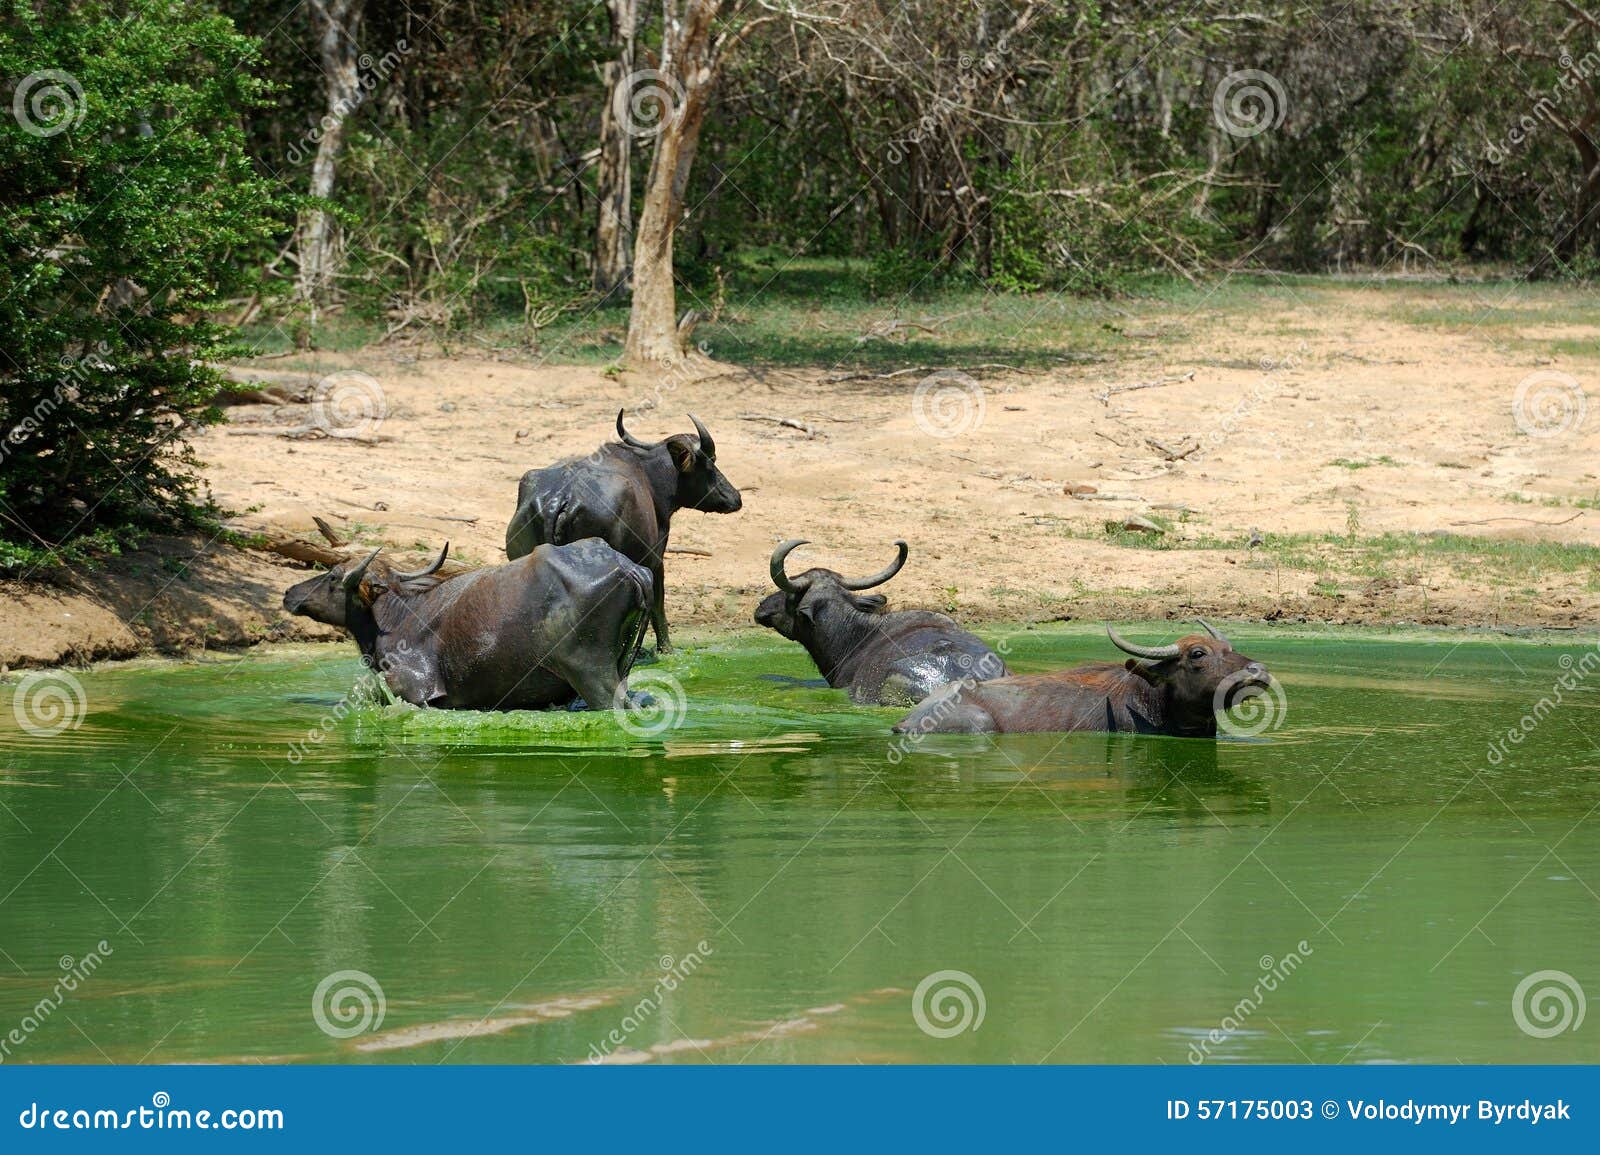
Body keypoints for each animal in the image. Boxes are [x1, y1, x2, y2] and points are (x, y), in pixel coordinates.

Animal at [283, 537, 651, 711]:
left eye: (332, 576)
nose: (288, 593)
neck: (395, 618)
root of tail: (631, 569)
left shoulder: (414, 687)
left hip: (593, 675)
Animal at [505, 411, 741, 652]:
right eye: (711, 462)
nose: (735, 498)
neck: (651, 477)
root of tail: (560, 498)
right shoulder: (655, 560)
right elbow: (657, 605)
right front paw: (666, 649)